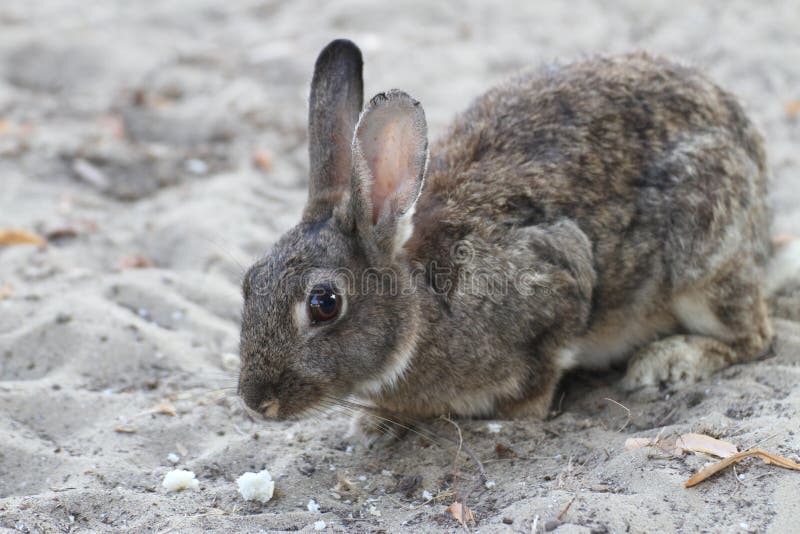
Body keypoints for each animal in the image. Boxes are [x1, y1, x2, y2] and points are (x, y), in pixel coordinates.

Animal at [238, 39, 778, 437]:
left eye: (324, 303)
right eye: (248, 282)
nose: (255, 402)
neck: (420, 306)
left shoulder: (556, 282)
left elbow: (541, 370)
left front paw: (514, 414)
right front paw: (375, 424)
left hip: (701, 254)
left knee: (753, 336)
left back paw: (666, 363)